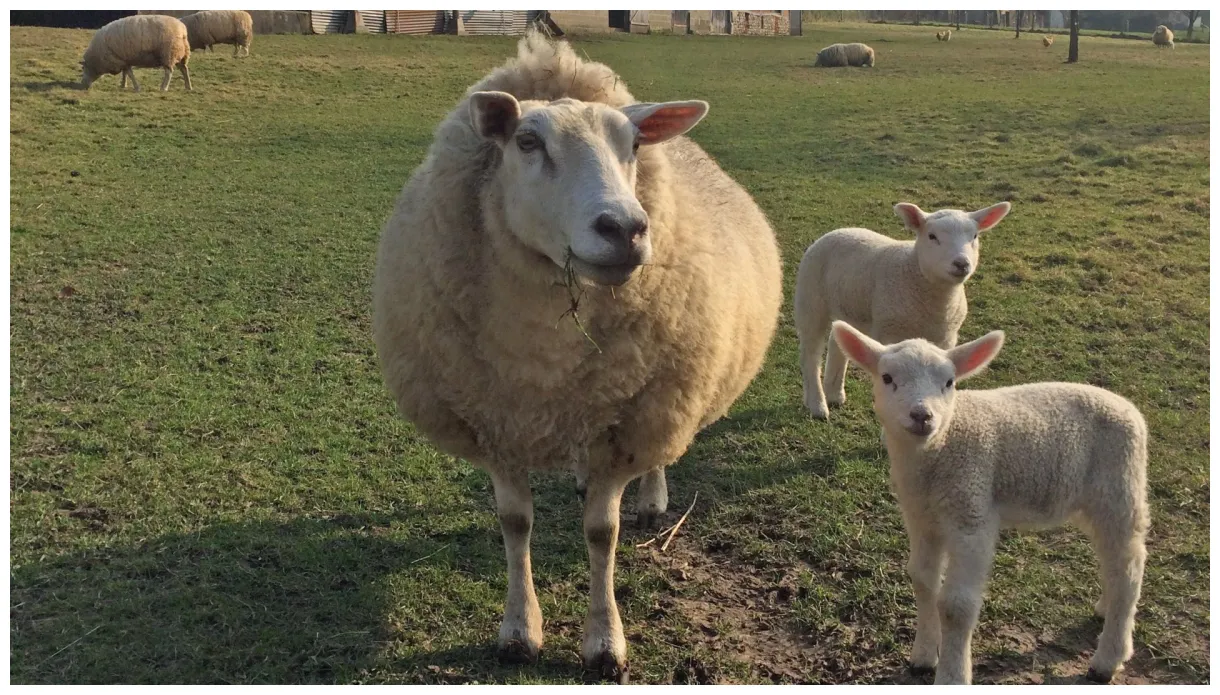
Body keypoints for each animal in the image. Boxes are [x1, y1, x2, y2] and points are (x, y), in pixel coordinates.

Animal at [372, 31, 782, 682]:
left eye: (633, 144)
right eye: (527, 142)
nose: (626, 229)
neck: (547, 361)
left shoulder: (625, 425)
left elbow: (601, 532)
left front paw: (604, 641)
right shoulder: (496, 424)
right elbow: (515, 524)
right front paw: (519, 630)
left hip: (663, 400)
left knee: (654, 461)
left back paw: (652, 499)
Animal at [793, 201, 1011, 420]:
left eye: (974, 236)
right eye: (932, 236)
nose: (962, 264)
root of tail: (839, 230)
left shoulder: (947, 339)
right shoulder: (890, 334)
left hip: (853, 309)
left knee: (838, 342)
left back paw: (835, 394)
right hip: (811, 301)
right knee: (810, 355)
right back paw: (818, 405)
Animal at [830, 321, 1149, 685]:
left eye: (949, 382)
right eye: (887, 378)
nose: (922, 416)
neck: (939, 450)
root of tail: (1127, 407)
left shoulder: (971, 513)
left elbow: (956, 606)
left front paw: (952, 676)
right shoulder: (921, 517)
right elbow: (923, 581)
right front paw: (923, 656)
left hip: (1119, 489)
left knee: (1128, 567)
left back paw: (1109, 657)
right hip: (1092, 499)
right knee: (1112, 563)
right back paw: (1105, 608)